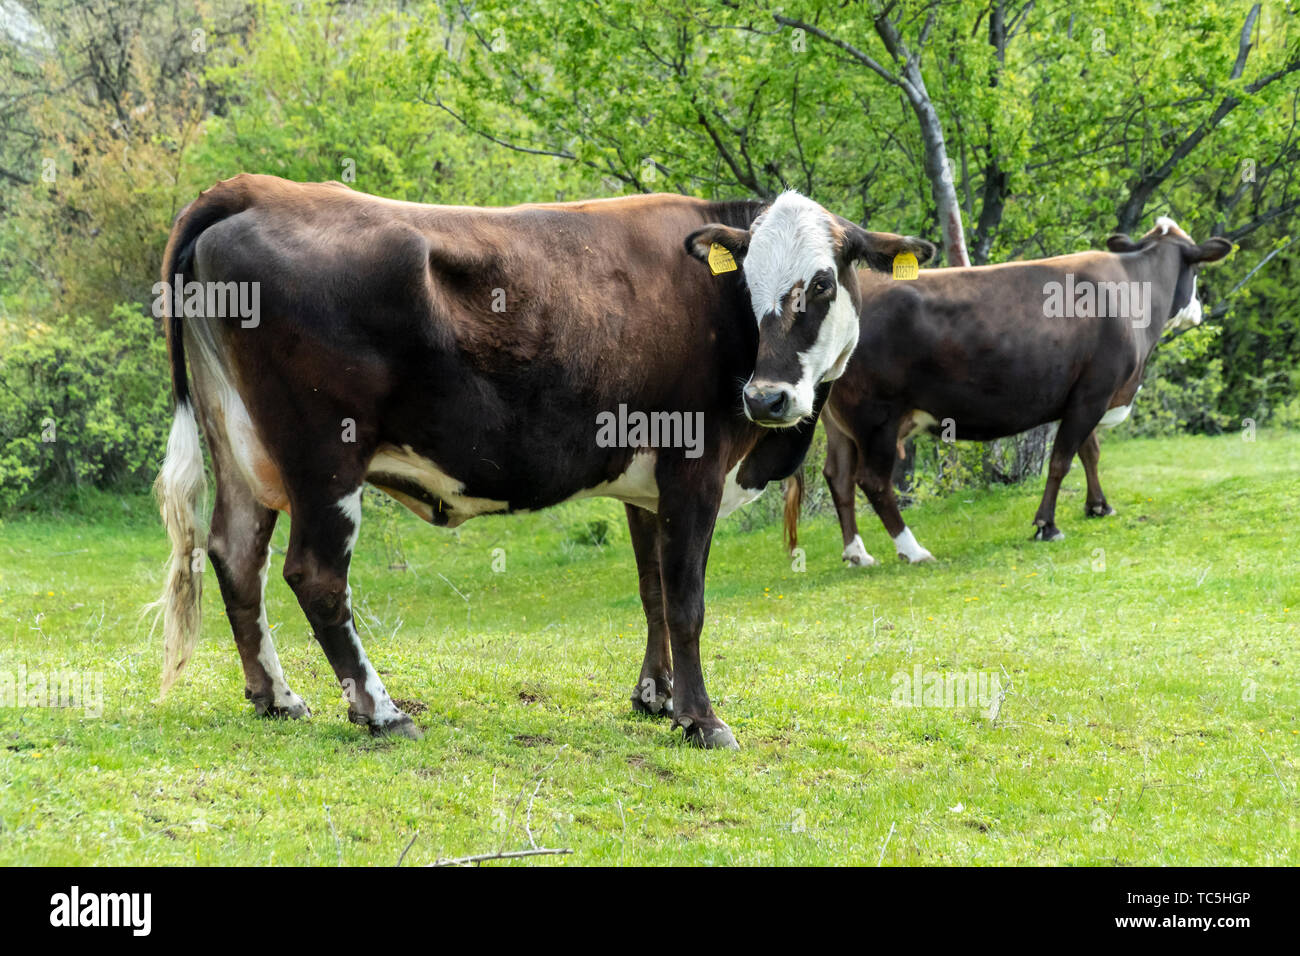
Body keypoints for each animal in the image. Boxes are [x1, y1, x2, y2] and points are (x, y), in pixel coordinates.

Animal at [151, 175, 935, 748]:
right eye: (747, 284)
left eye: (824, 282)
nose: (767, 396)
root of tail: (257, 188)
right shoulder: (694, 468)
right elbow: (686, 602)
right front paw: (702, 720)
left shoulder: (647, 482)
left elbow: (652, 592)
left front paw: (656, 698)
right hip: (325, 459)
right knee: (313, 576)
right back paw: (380, 710)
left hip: (244, 447)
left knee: (235, 556)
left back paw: (276, 697)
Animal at [783, 217, 1231, 566]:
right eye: (1196, 271)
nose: (1199, 311)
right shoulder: (1093, 393)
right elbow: (1061, 460)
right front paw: (1047, 525)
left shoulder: (1088, 395)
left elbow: (1090, 453)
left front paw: (1099, 506)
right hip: (877, 417)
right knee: (873, 480)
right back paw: (912, 550)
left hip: (840, 421)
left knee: (838, 476)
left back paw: (857, 553)